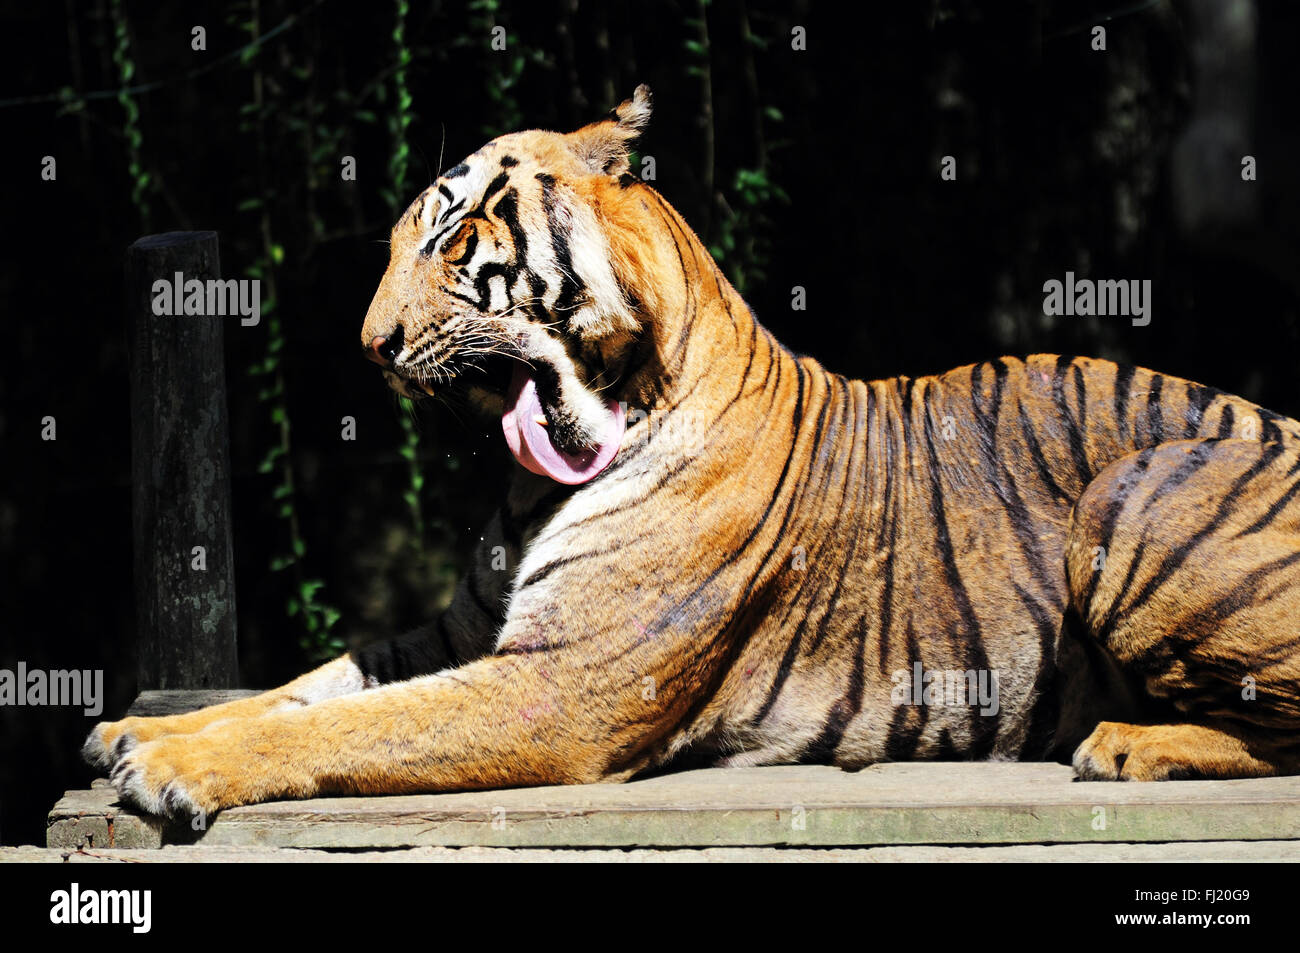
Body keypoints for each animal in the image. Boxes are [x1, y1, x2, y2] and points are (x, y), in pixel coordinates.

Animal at [85, 85, 1300, 818]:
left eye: (451, 237)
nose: (370, 345)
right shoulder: (462, 631)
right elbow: (303, 690)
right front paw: (130, 730)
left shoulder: (556, 686)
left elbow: (356, 722)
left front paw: (177, 766)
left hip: (1136, 491)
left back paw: (1127, 741)